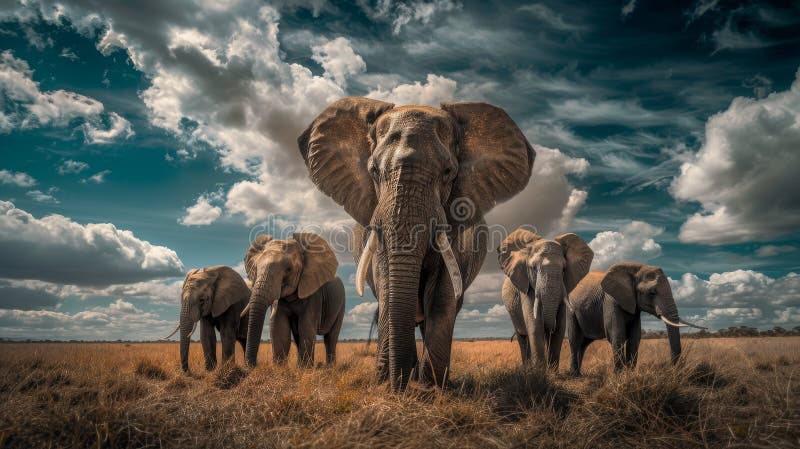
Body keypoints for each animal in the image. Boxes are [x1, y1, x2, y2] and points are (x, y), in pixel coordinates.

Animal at [242, 232, 345, 368]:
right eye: (256, 269)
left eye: (288, 270)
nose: (252, 366)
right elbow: (280, 329)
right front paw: (280, 369)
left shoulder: (314, 293)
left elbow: (306, 327)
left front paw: (305, 369)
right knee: (298, 337)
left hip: (341, 304)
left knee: (331, 338)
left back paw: (330, 367)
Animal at [299, 97, 535, 389]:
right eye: (374, 171)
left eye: (448, 172)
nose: (397, 386)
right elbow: (386, 282)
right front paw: (387, 383)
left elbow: (444, 292)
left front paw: (431, 387)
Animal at [498, 229, 593, 370]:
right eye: (533, 268)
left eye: (564, 269)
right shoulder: (526, 288)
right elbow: (535, 324)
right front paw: (540, 372)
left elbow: (560, 327)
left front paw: (552, 372)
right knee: (523, 338)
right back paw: (527, 368)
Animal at [566, 262, 706, 376]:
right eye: (652, 293)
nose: (670, 369)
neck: (636, 268)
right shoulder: (610, 300)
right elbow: (617, 335)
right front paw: (618, 376)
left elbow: (635, 338)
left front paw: (629, 374)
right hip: (571, 311)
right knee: (575, 340)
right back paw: (575, 375)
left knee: (584, 344)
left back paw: (579, 373)